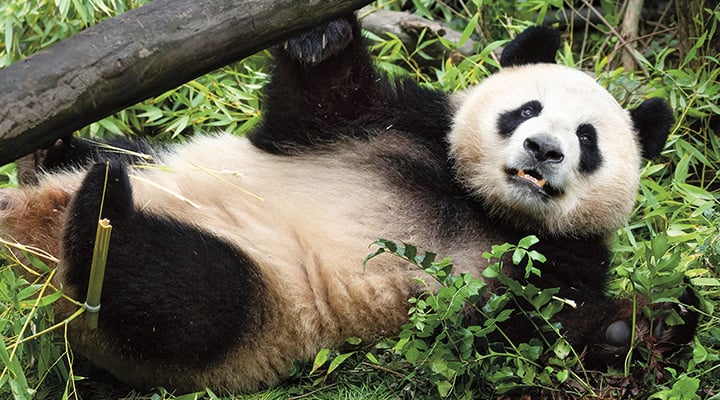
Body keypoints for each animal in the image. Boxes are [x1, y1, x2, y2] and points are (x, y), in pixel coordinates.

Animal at [0, 14, 697, 393]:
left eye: (588, 139)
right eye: (526, 110)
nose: (544, 149)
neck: (481, 204)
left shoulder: (557, 258)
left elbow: (523, 328)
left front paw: (646, 324)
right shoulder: (397, 123)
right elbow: (318, 105)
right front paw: (323, 35)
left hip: (263, 309)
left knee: (181, 293)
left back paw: (103, 216)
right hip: (153, 162)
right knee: (120, 165)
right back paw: (58, 159)